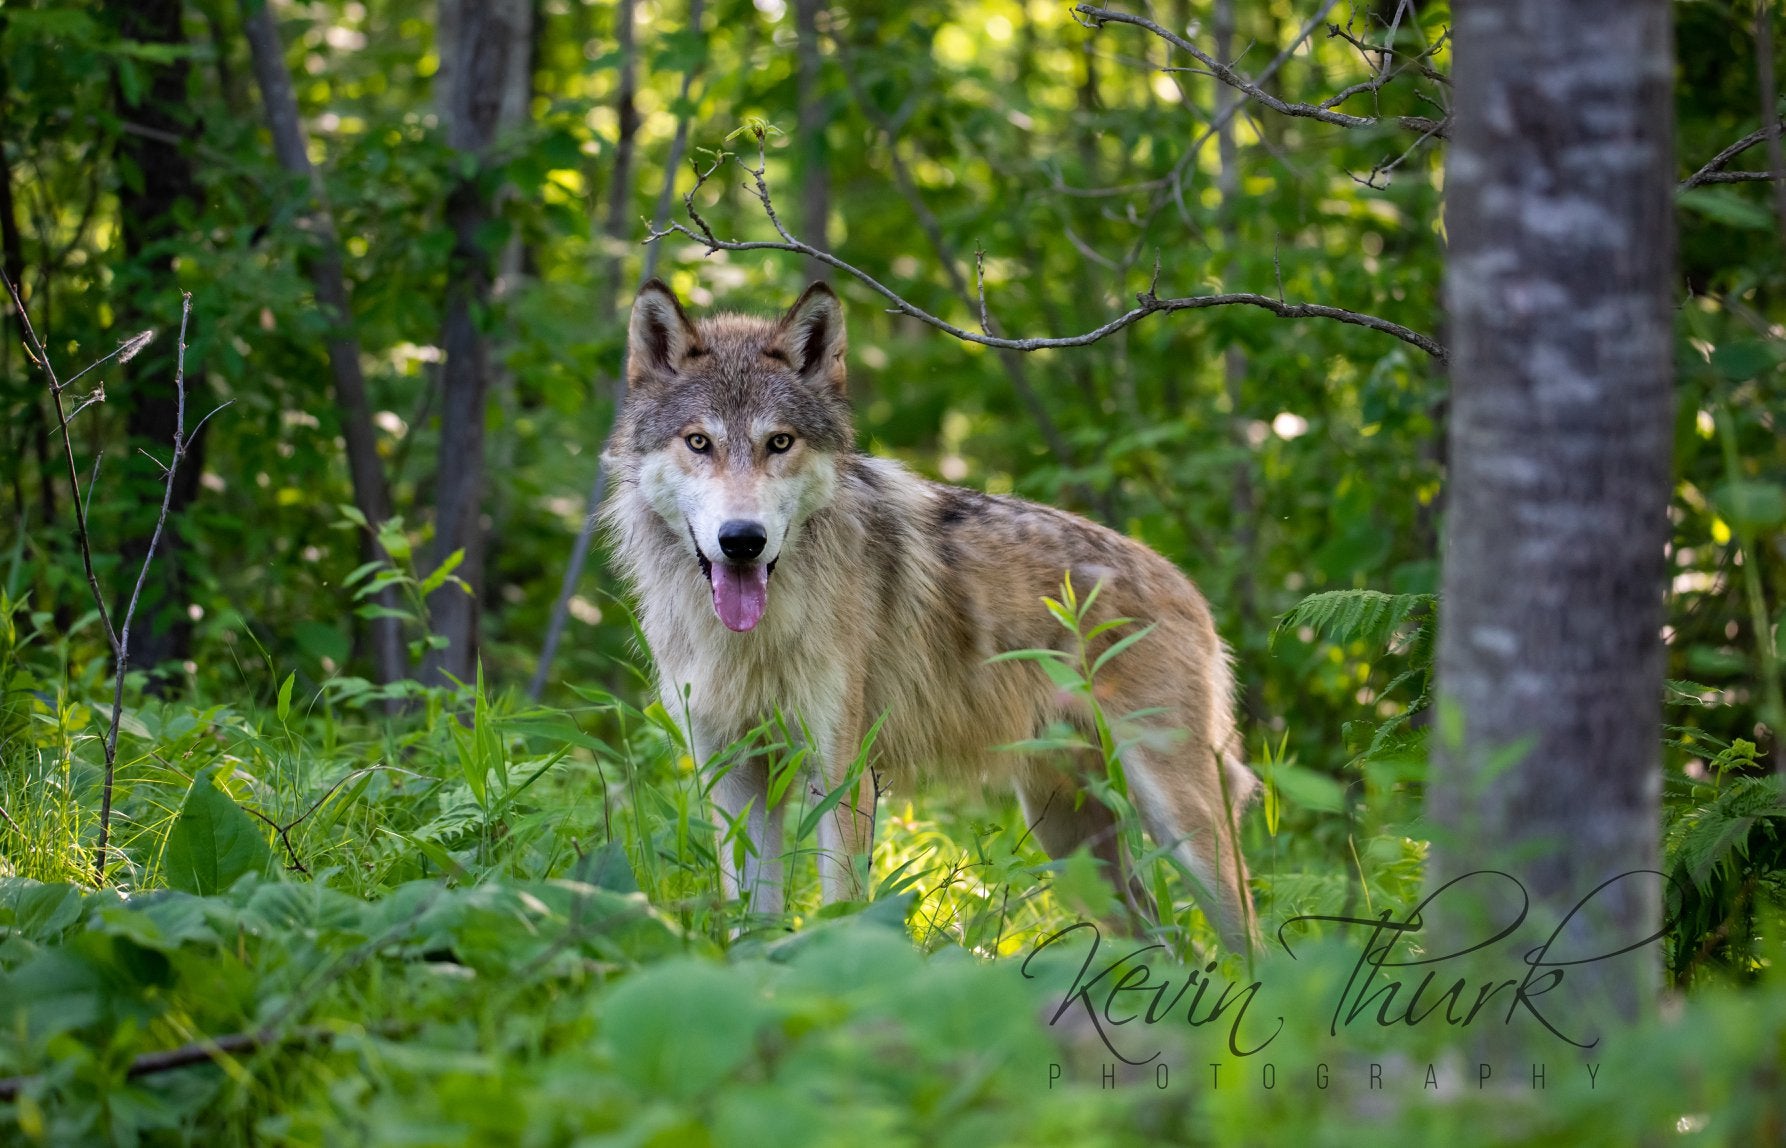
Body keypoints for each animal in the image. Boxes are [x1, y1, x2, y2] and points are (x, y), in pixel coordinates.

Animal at [601, 279, 1259, 950]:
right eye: (699, 442)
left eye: (779, 442)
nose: (742, 541)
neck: (752, 639)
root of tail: (1185, 586)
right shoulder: (733, 779)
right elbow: (749, 926)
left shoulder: (841, 776)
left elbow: (842, 912)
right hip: (1073, 847)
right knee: (1169, 943)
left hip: (1180, 828)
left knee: (1250, 948)